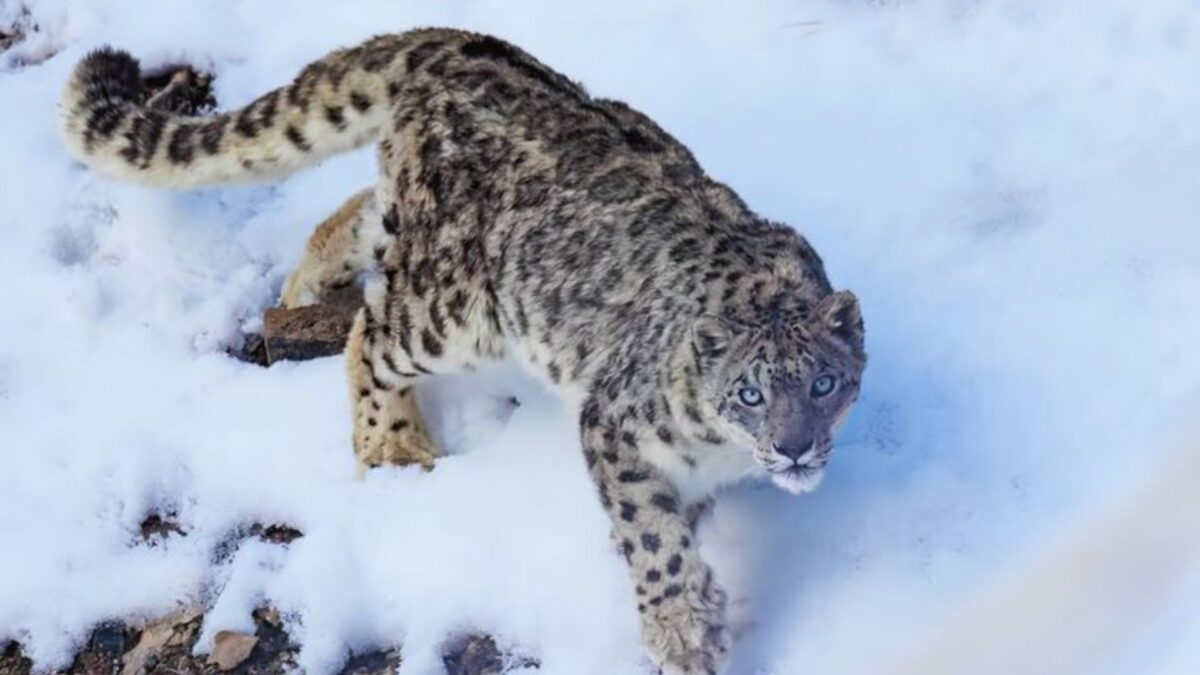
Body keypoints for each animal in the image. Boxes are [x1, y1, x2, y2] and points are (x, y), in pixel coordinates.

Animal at [59, 28, 866, 674]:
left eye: (824, 385)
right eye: (749, 392)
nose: (794, 447)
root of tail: (458, 46)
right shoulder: (613, 424)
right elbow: (652, 538)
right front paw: (682, 632)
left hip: (407, 229)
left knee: (359, 216)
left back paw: (306, 282)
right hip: (452, 308)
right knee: (373, 330)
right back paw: (390, 444)